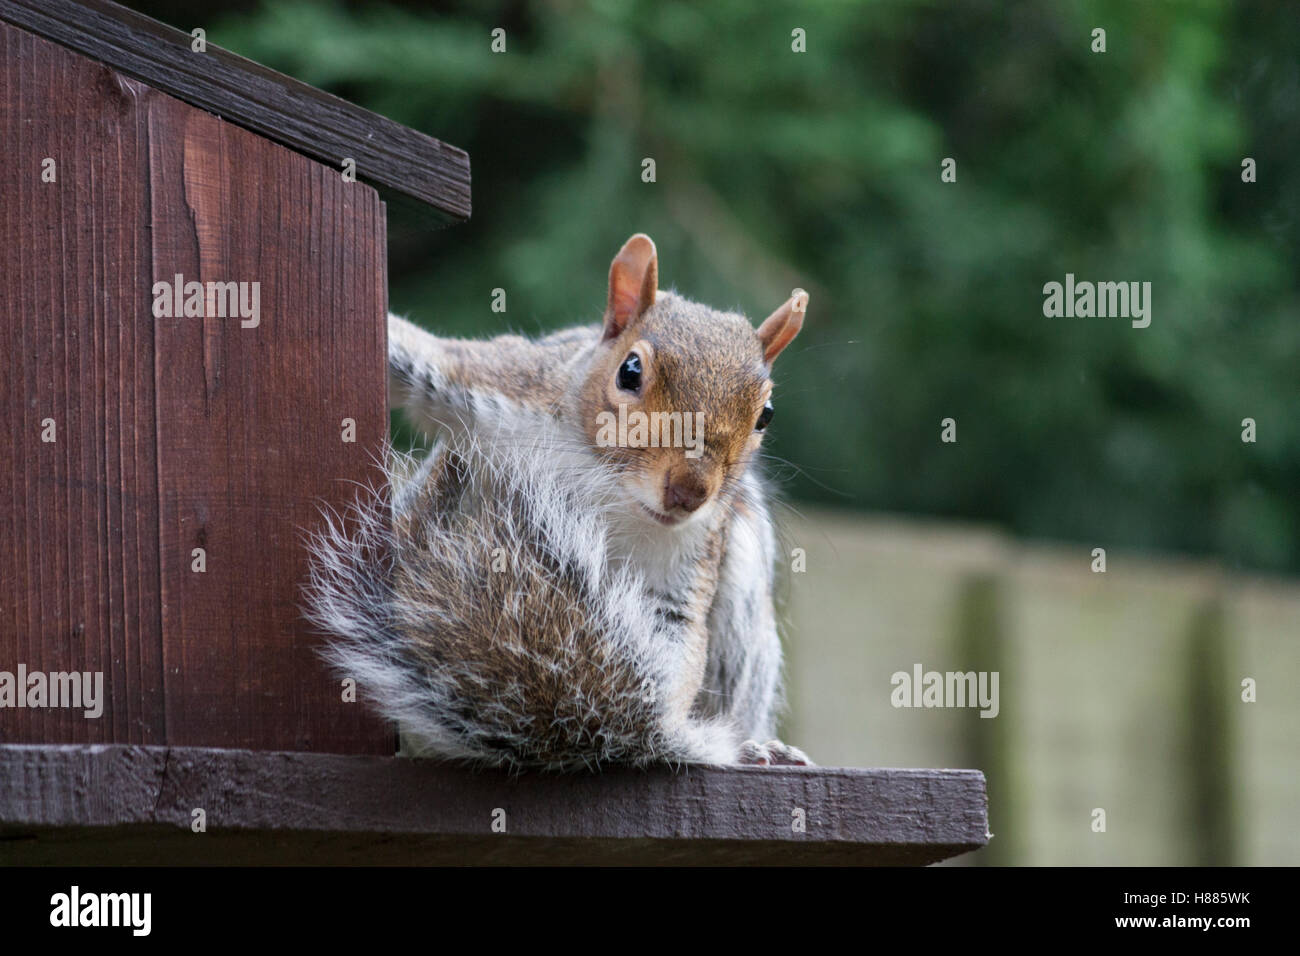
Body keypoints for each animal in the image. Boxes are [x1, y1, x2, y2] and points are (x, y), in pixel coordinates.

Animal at [305, 233, 811, 772]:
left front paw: (666, 733)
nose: (689, 491)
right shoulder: (504, 387)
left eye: (766, 414)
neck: (611, 485)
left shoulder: (691, 553)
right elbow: (422, 357)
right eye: (630, 371)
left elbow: (675, 634)